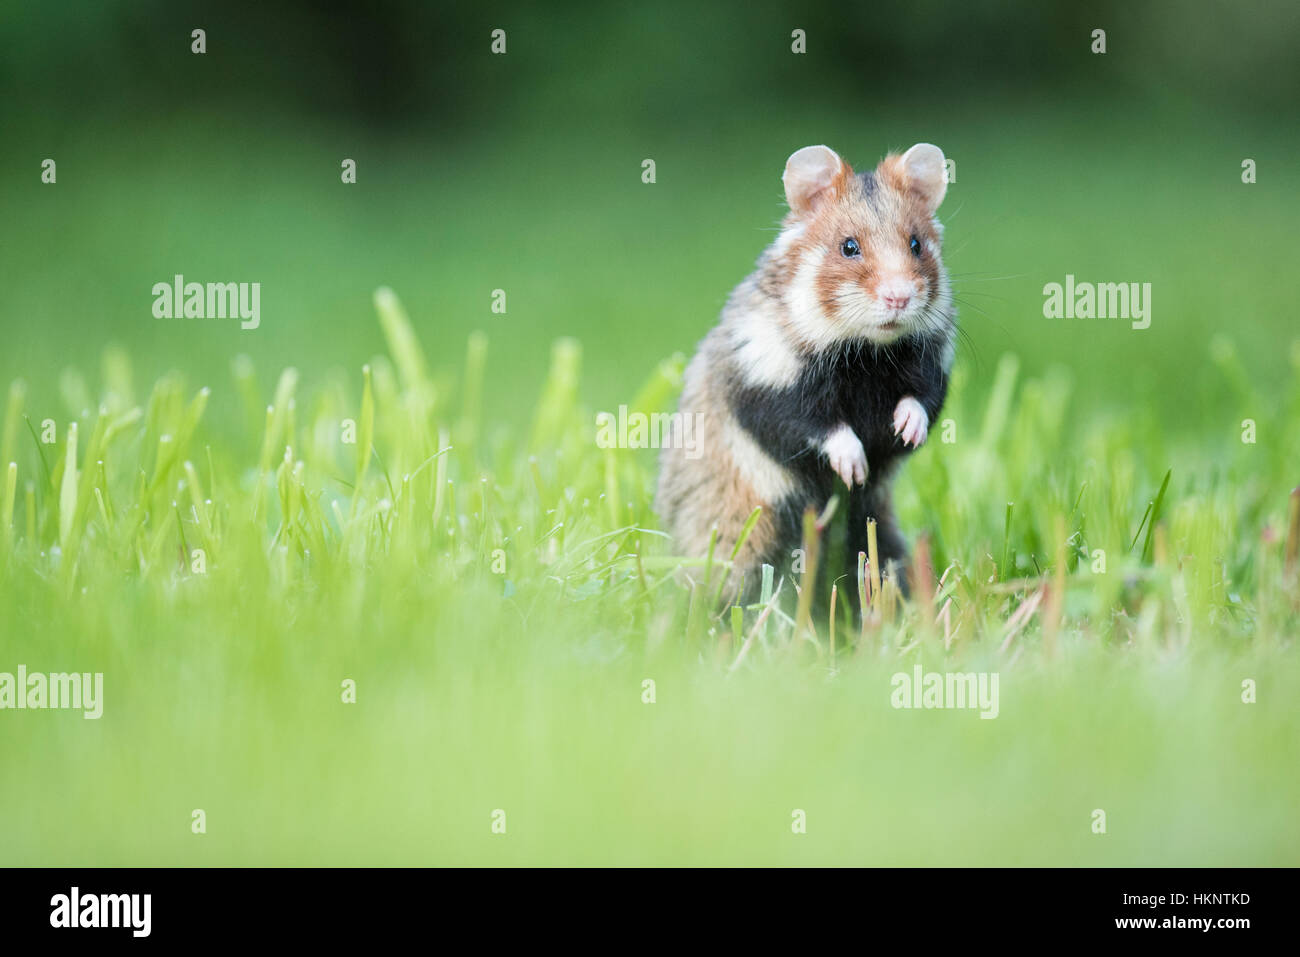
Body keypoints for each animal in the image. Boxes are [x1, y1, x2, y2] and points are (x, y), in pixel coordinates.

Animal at [656, 143, 955, 603]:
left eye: (916, 243)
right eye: (848, 246)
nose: (899, 298)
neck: (866, 353)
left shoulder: (934, 363)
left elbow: (922, 401)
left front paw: (908, 430)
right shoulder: (763, 383)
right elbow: (814, 425)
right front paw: (854, 467)